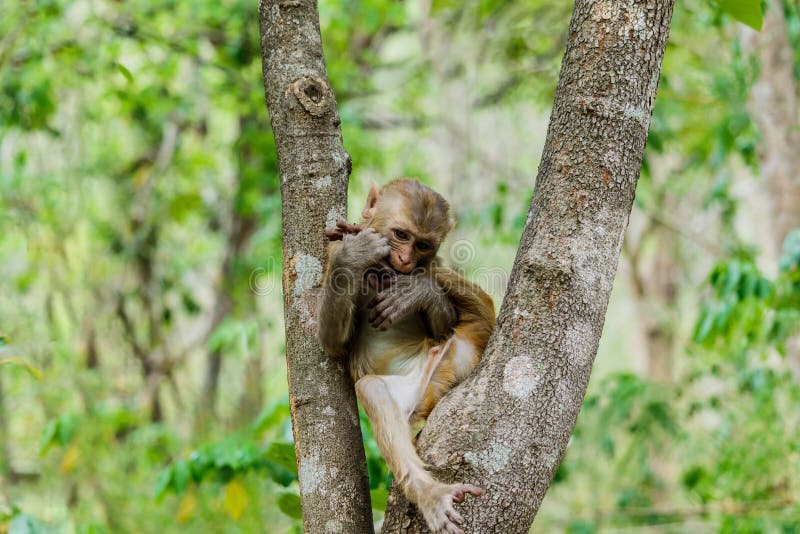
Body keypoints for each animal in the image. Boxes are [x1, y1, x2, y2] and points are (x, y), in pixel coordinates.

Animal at [317, 178, 495, 534]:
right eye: (401, 235)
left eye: (422, 244)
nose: (403, 260)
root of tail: (431, 387)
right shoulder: (333, 253)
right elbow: (333, 343)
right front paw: (356, 253)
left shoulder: (432, 262)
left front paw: (419, 292)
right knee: (372, 389)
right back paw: (429, 493)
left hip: (457, 355)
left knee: (477, 310)